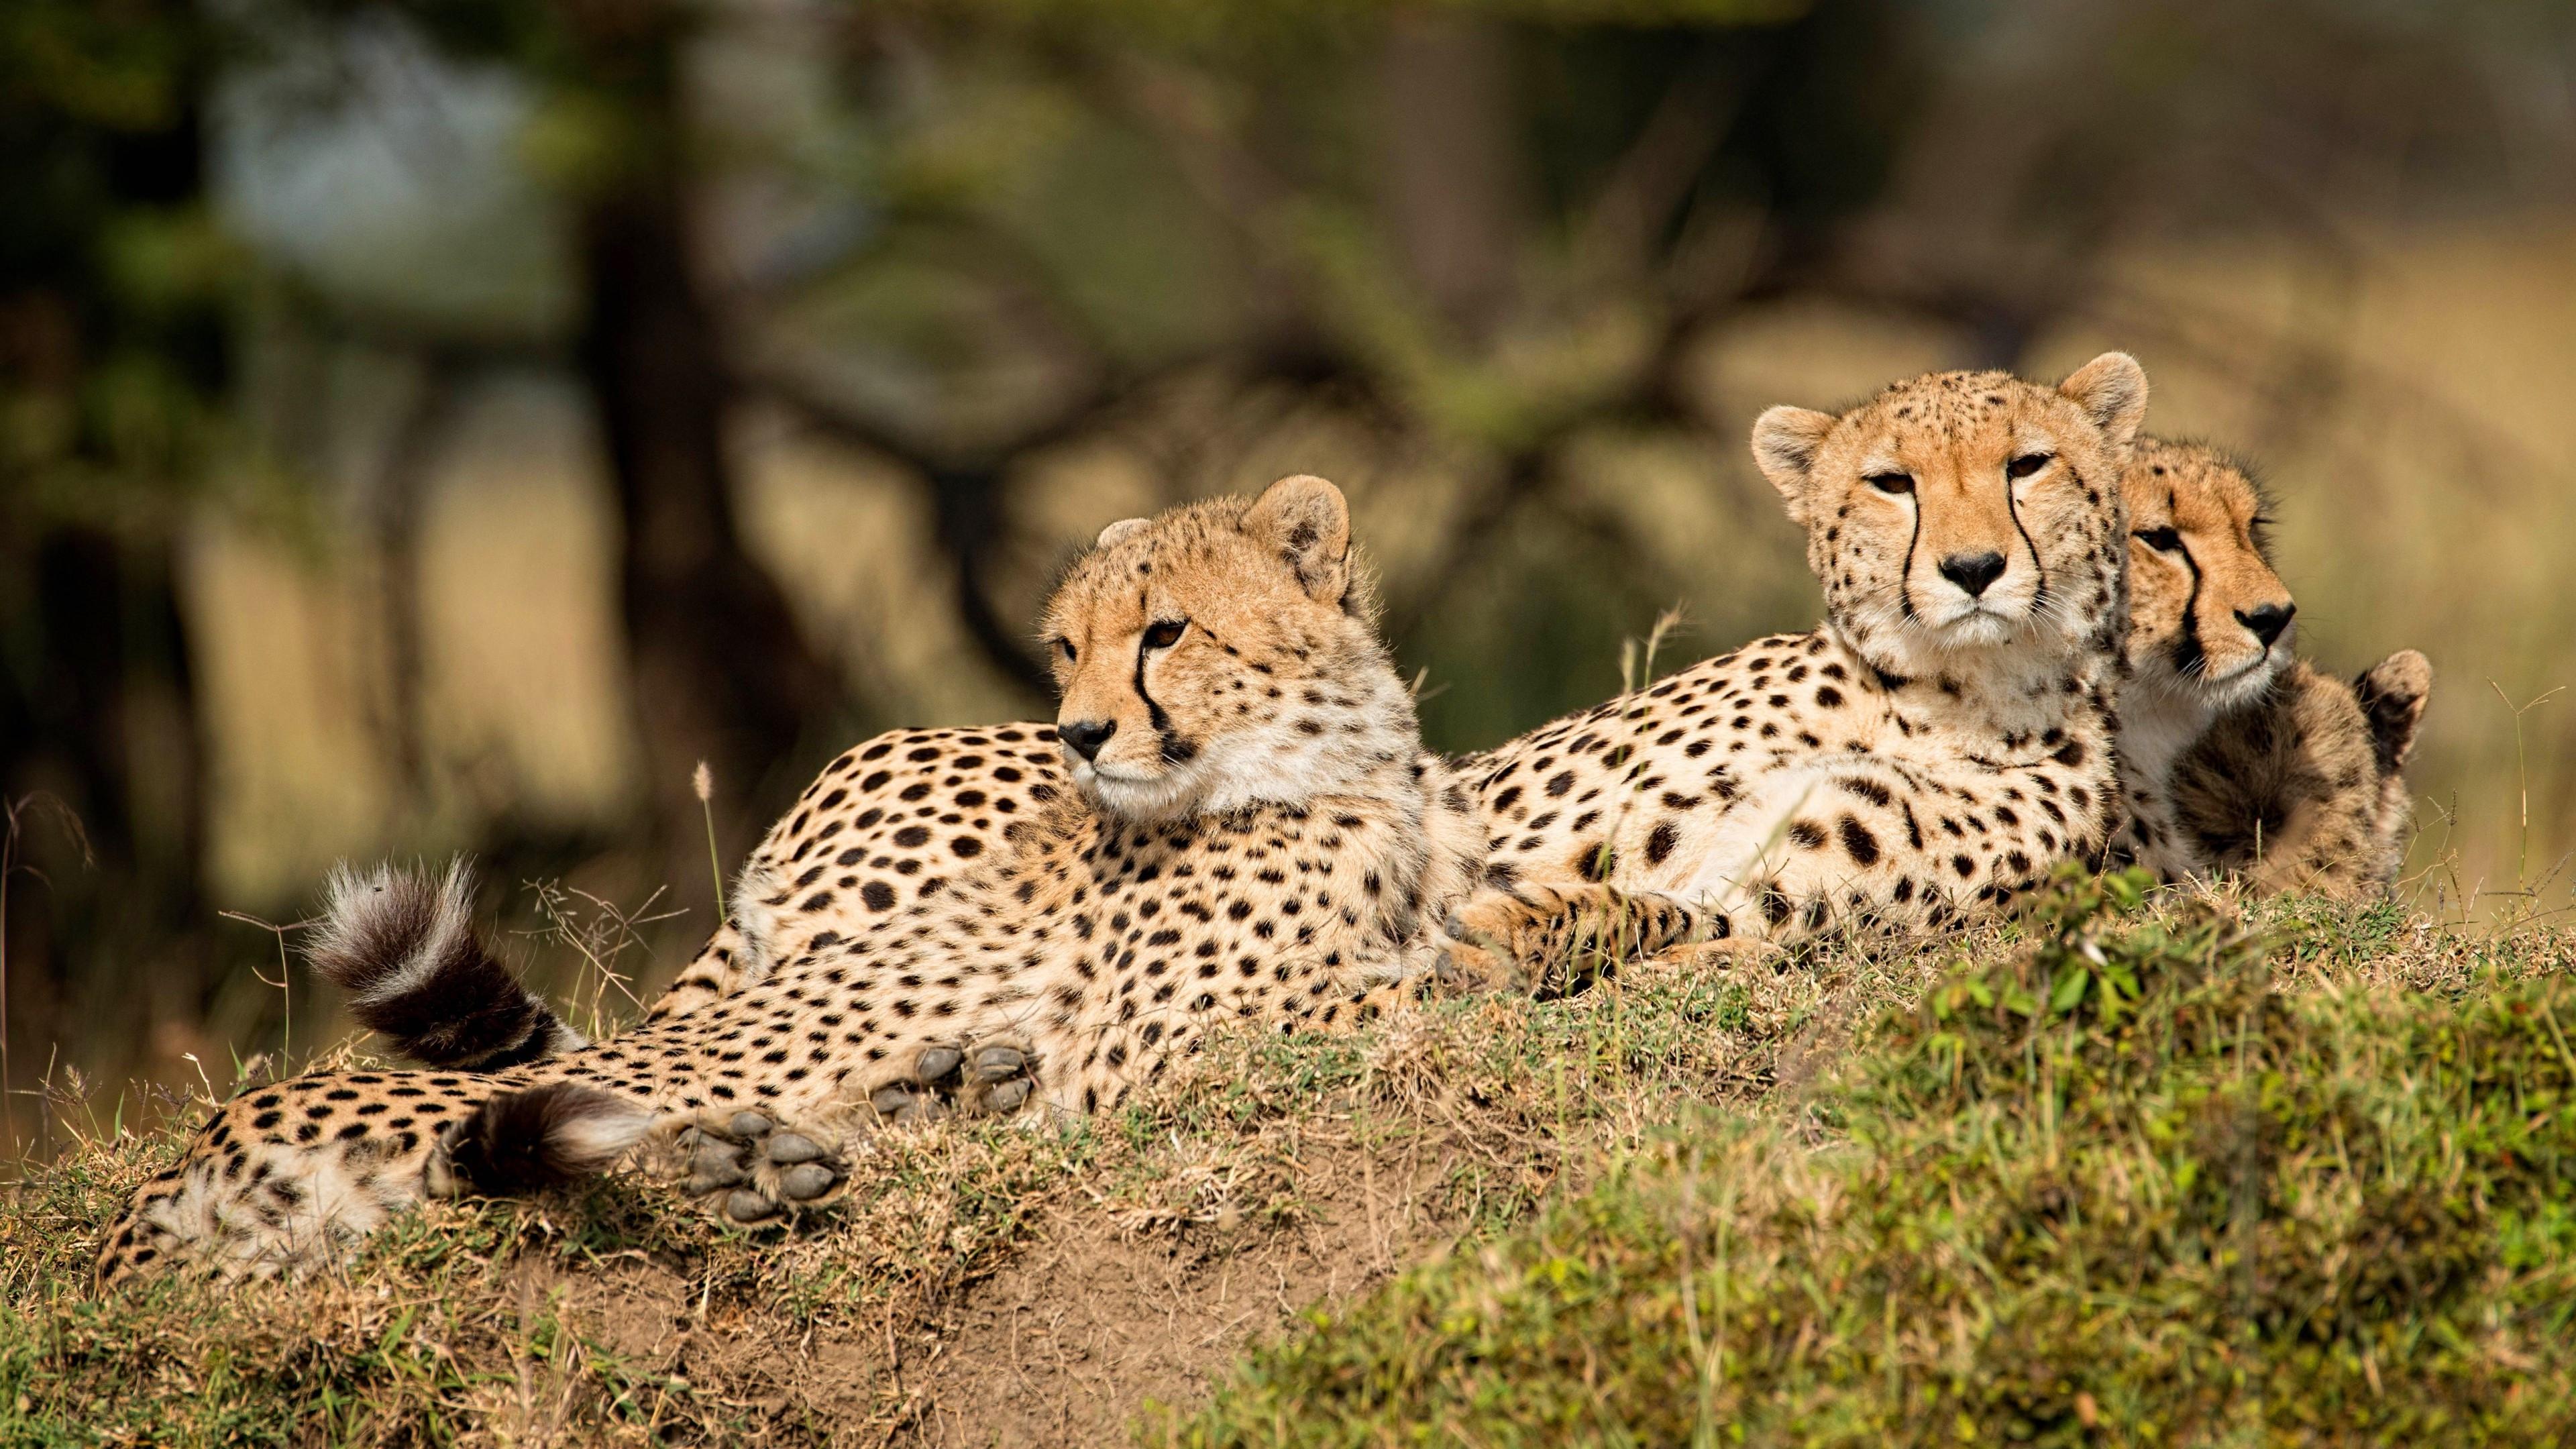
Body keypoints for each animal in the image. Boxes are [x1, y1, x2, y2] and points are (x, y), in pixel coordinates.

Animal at [95, 475, 1487, 1288]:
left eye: (1166, 632)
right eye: (1065, 648)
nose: (1082, 736)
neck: (1324, 766)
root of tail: (181, 1167)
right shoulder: (1139, 1056)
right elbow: (1400, 999)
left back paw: (917, 1105)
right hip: (499, 1114)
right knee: (509, 1187)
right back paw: (759, 1163)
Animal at [1434, 354, 2148, 983]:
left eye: (2028, 466)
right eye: (1892, 482)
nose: (1973, 568)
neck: (1948, 703)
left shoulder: (1779, 902)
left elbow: (1668, 915)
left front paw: (1498, 939)